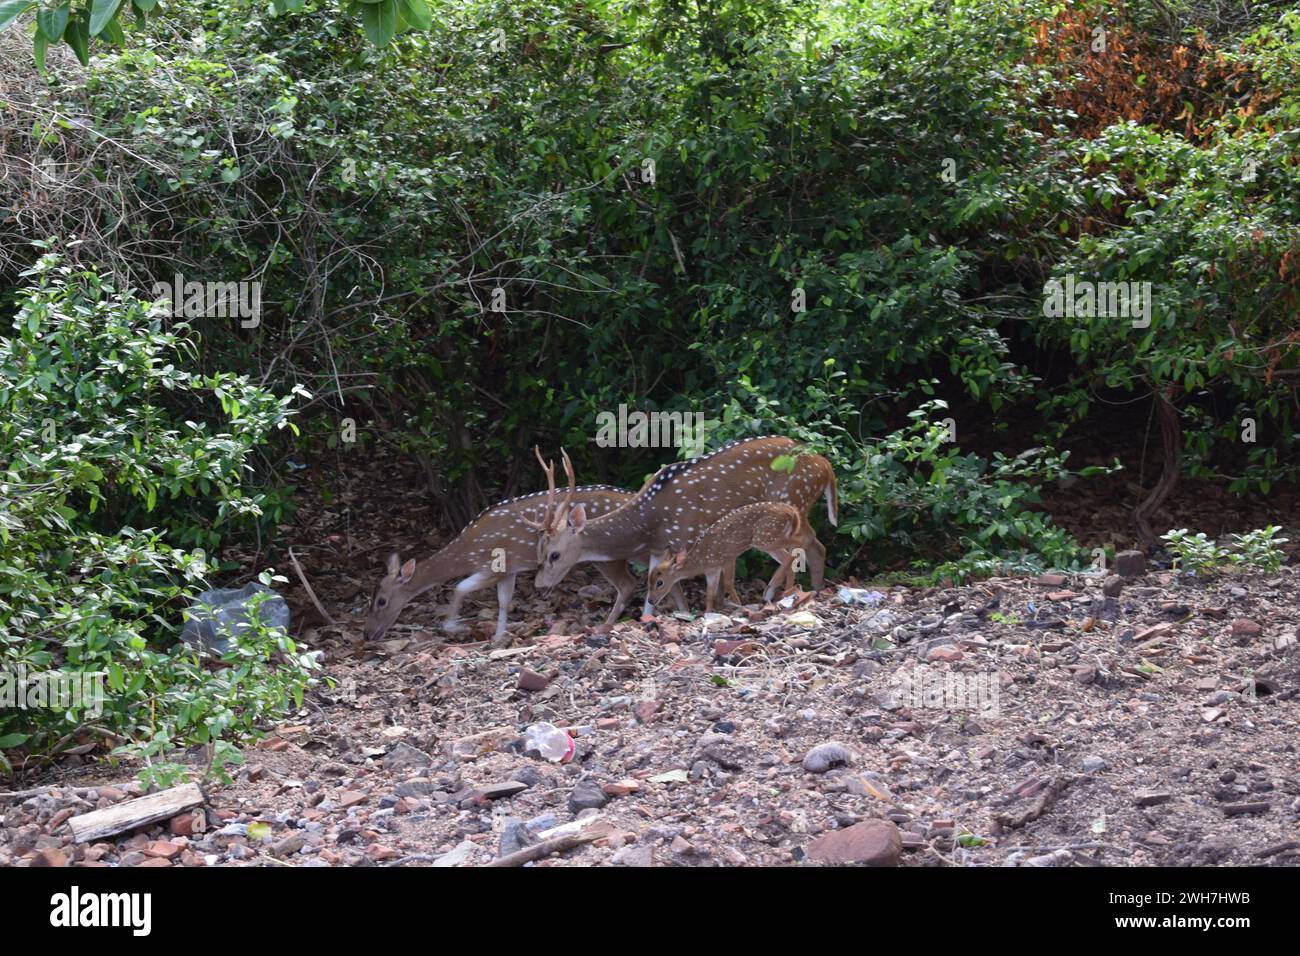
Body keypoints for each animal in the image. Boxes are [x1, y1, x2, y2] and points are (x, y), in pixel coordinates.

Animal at [364, 449, 684, 644]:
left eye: (381, 600)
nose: (367, 635)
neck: (467, 549)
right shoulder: (509, 571)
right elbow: (504, 602)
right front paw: (498, 637)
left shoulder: (495, 563)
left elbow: (460, 587)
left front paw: (453, 626)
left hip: (612, 555)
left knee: (631, 582)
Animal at [647, 502, 805, 612]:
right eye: (649, 579)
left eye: (659, 582)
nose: (650, 601)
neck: (701, 561)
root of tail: (791, 511)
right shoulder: (712, 570)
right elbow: (710, 592)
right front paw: (708, 612)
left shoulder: (728, 557)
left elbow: (728, 584)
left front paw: (739, 606)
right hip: (770, 540)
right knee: (788, 559)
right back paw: (787, 592)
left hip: (765, 537)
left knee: (801, 542)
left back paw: (772, 586)